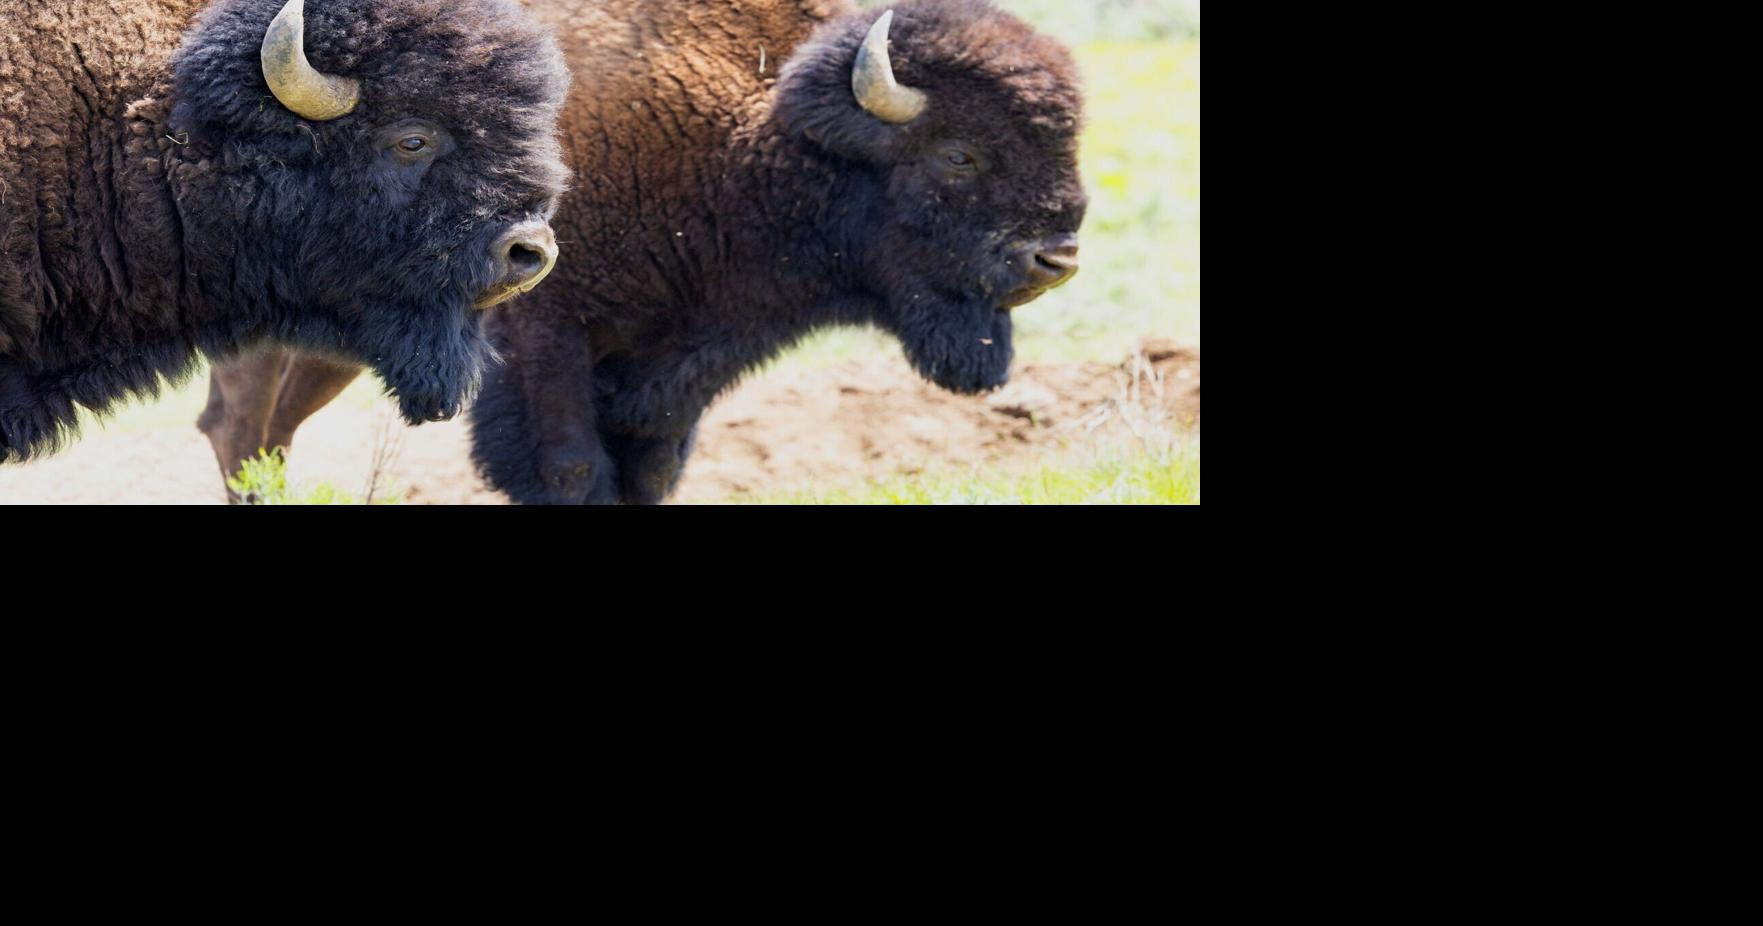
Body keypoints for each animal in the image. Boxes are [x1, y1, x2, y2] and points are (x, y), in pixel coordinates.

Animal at [199, 0, 1087, 503]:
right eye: (959, 155)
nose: (1056, 260)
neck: (759, 127)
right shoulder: (546, 340)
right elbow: (571, 469)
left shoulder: (675, 369)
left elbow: (653, 471)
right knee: (240, 426)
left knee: (266, 428)